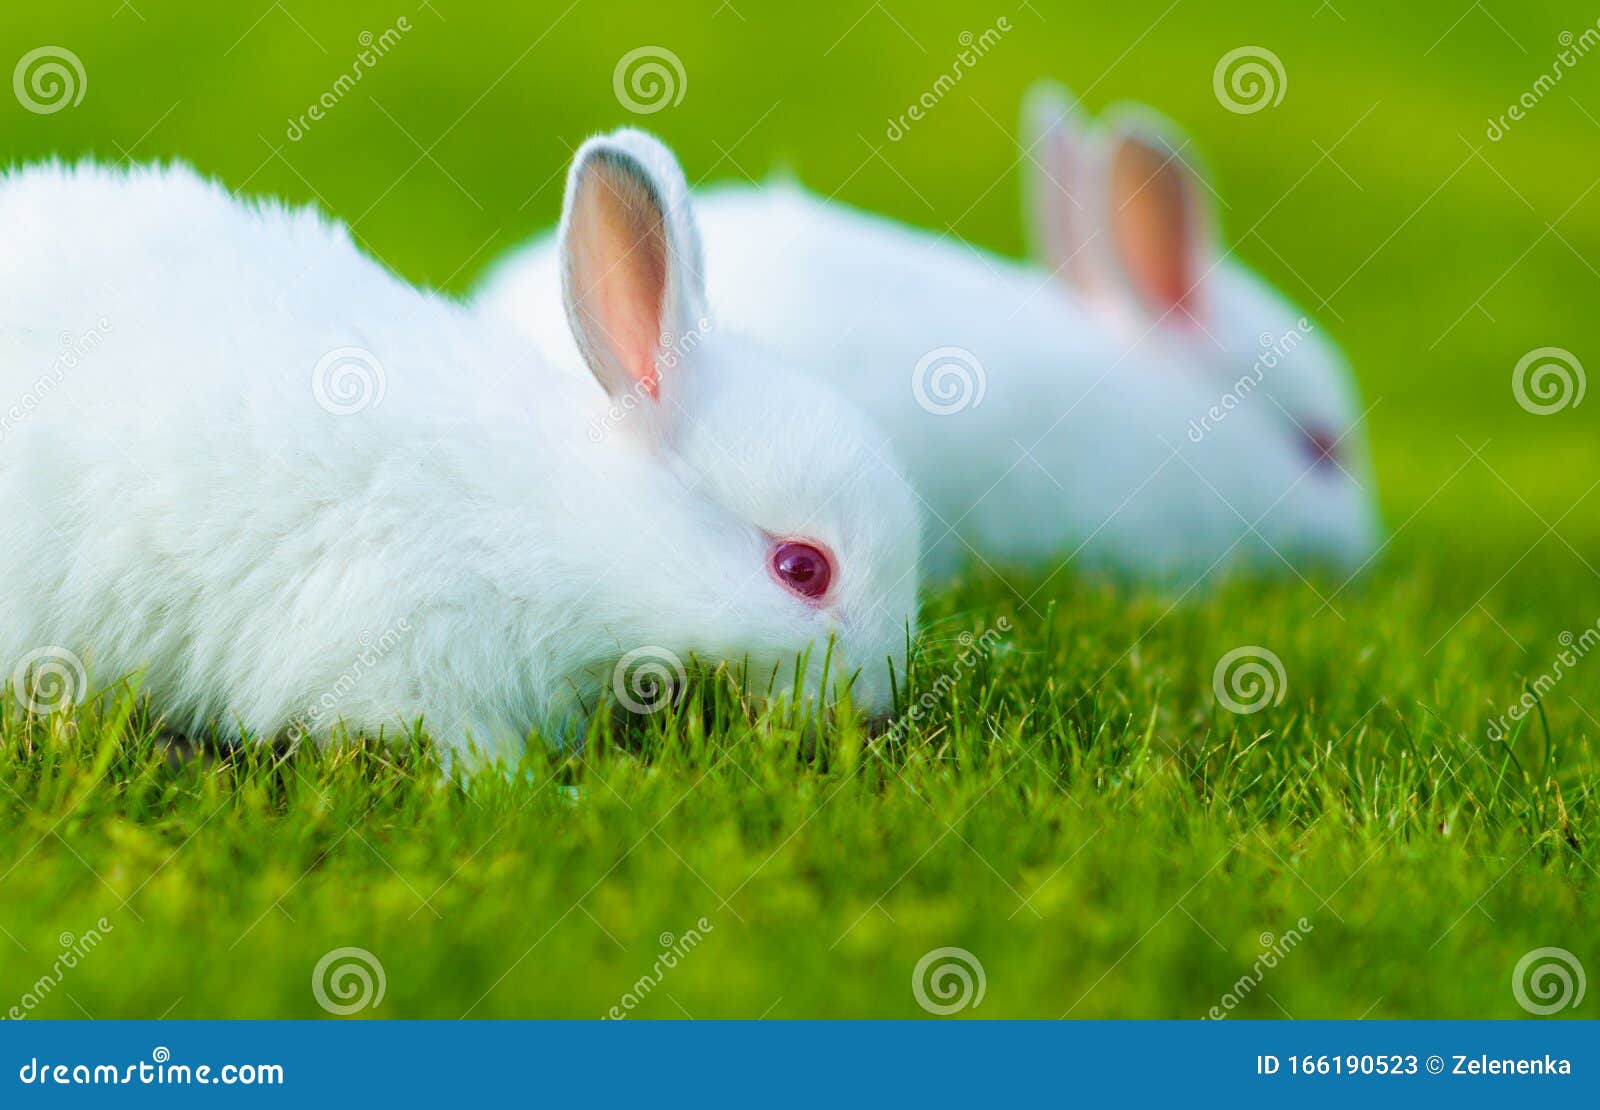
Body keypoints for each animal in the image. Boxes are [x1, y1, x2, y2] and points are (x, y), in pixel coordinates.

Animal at [0, 129, 921, 768]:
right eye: (801, 569)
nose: (876, 708)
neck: (559, 521)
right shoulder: (402, 651)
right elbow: (459, 741)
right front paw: (529, 788)